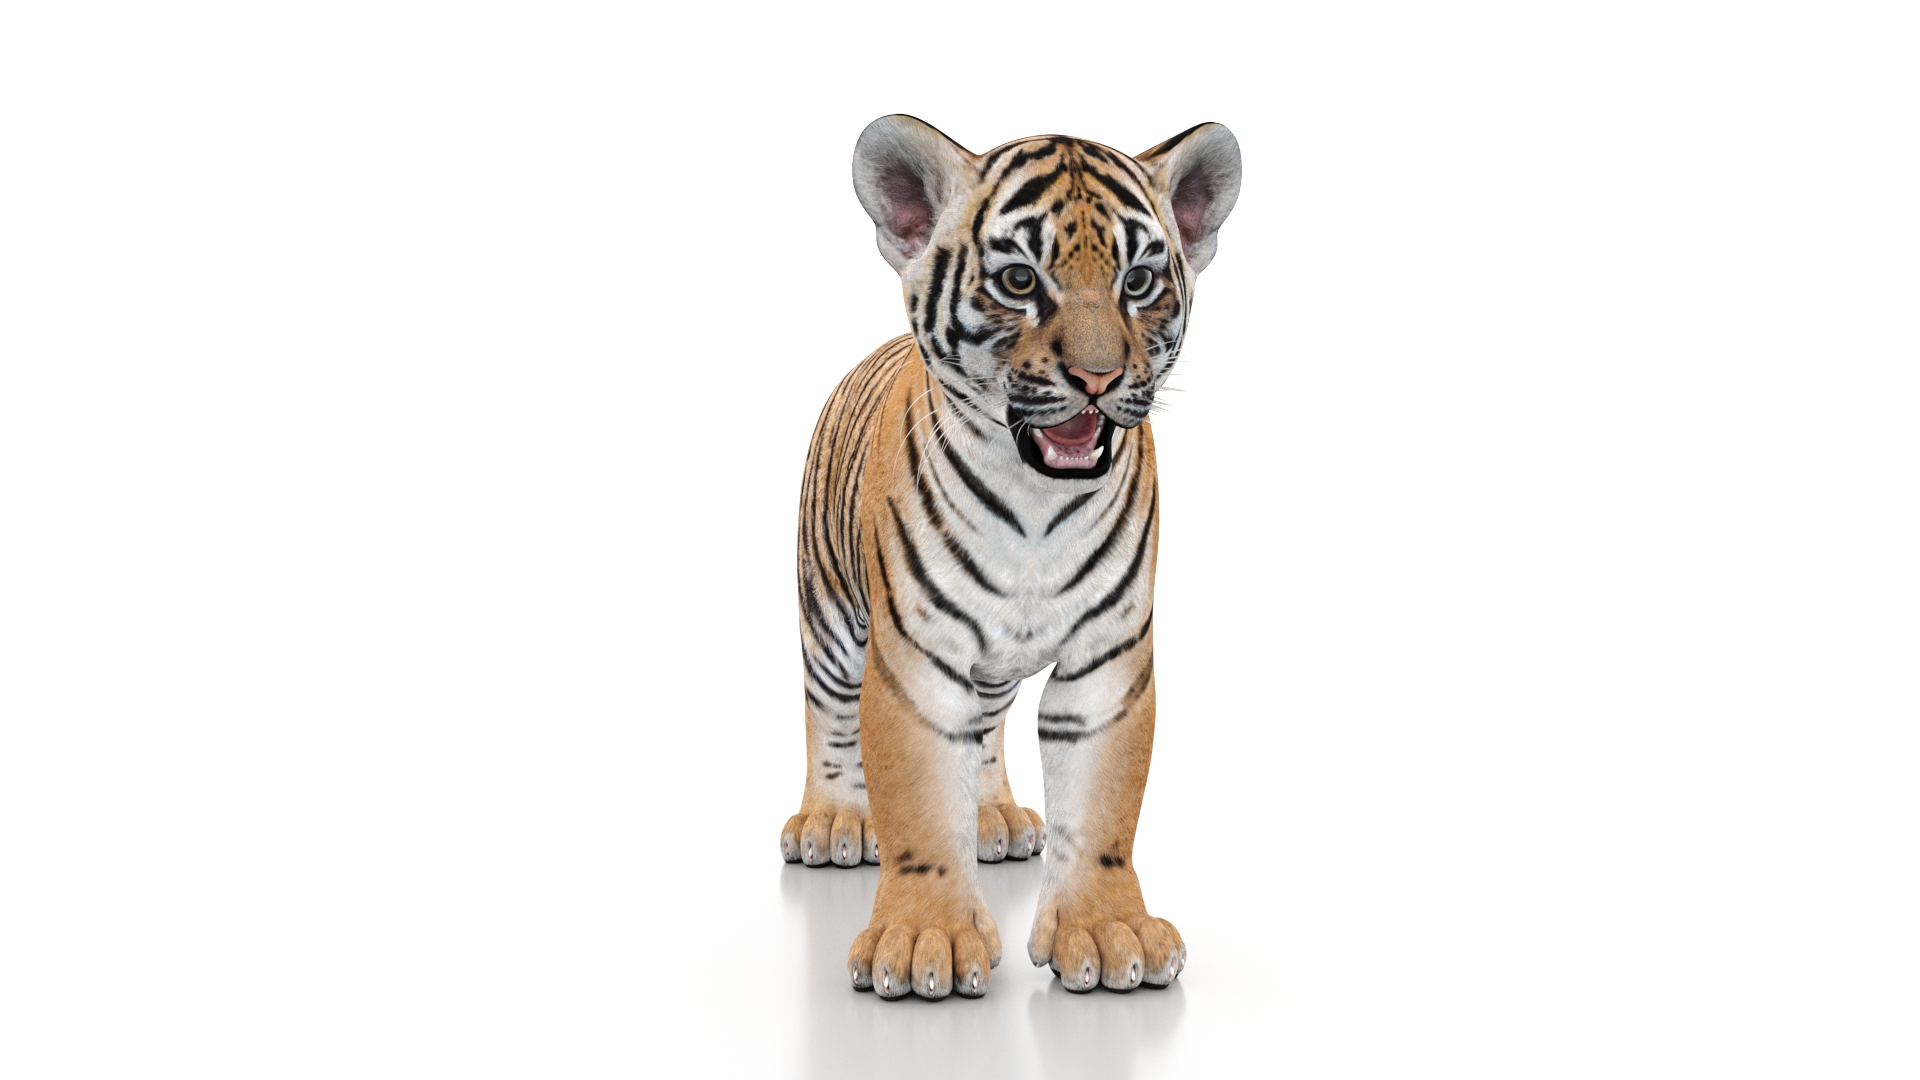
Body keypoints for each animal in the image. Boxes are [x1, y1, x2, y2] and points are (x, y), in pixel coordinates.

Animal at [780, 115, 1241, 999]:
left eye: (1138, 281)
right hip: (831, 617)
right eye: (1021, 280)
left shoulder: (1108, 662)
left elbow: (1102, 808)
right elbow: (917, 799)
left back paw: (991, 817)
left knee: (986, 728)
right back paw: (834, 821)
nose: (1098, 378)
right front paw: (923, 940)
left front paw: (1106, 932)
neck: (1037, 506)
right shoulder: (915, 663)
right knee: (827, 713)